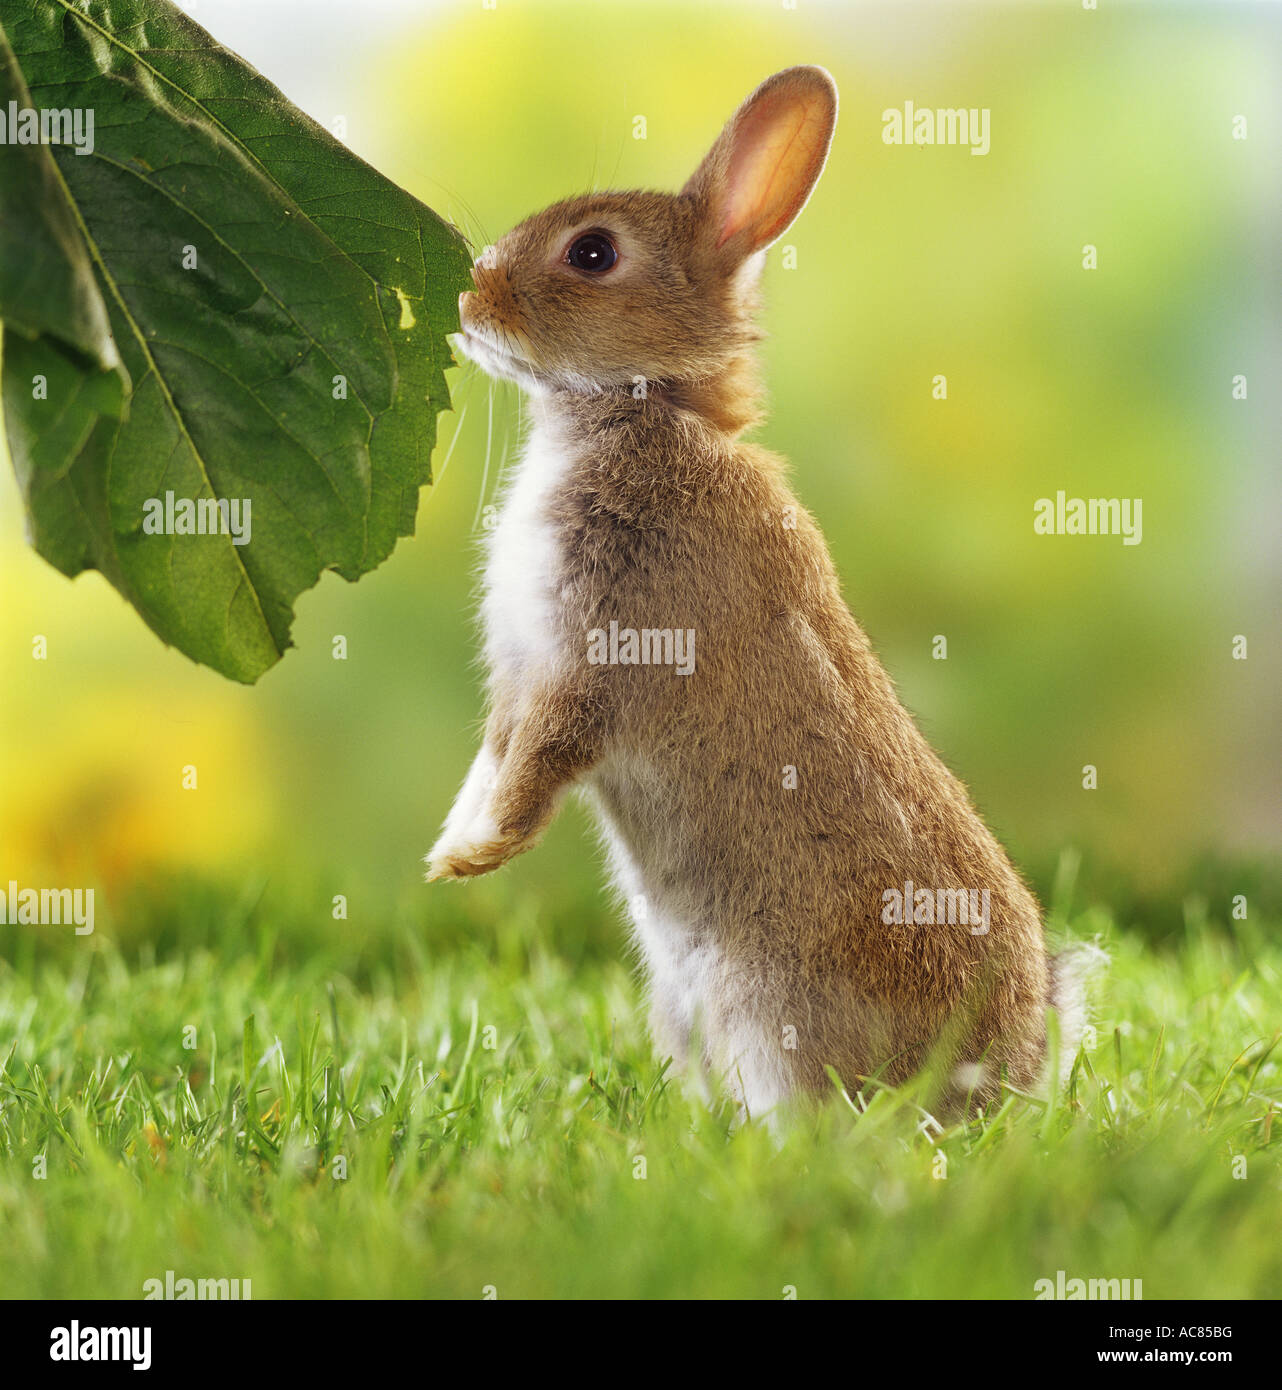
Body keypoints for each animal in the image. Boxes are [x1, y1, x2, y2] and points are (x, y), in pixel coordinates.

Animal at [426, 66, 1083, 1119]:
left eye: (594, 252)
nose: (469, 296)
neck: (645, 407)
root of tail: (1002, 1074)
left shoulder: (599, 660)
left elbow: (538, 766)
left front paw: (473, 859)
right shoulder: (521, 673)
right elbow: (492, 757)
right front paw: (448, 850)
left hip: (766, 1003)